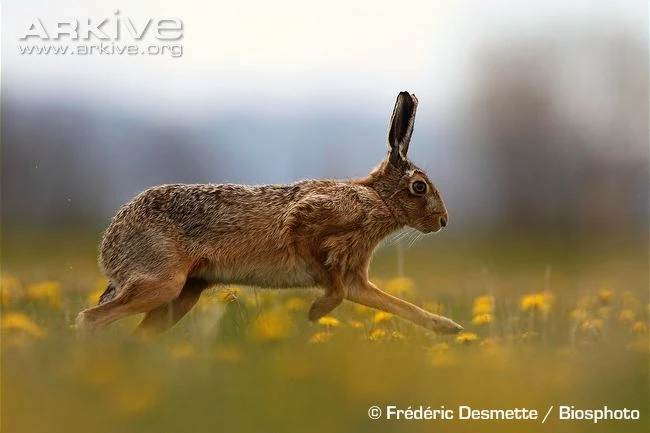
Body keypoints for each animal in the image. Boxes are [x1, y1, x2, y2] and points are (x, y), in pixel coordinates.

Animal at [76, 91, 463, 336]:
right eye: (419, 187)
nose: (443, 222)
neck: (377, 198)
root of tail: (110, 244)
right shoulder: (307, 223)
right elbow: (330, 280)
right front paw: (316, 312)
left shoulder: (356, 278)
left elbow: (397, 305)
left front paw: (448, 328)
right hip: (162, 281)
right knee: (90, 319)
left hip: (183, 295)